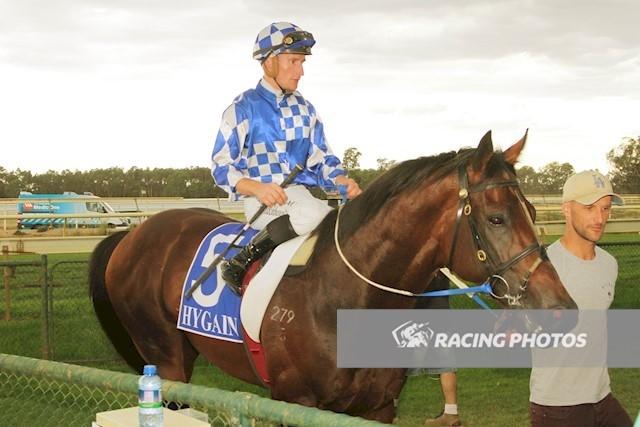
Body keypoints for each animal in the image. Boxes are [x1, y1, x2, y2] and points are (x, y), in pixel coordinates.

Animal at [89, 131, 576, 423]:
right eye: (496, 218)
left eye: (534, 213)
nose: (561, 308)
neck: (345, 297)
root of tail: (133, 234)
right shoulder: (297, 402)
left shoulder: (378, 406)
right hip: (164, 355)